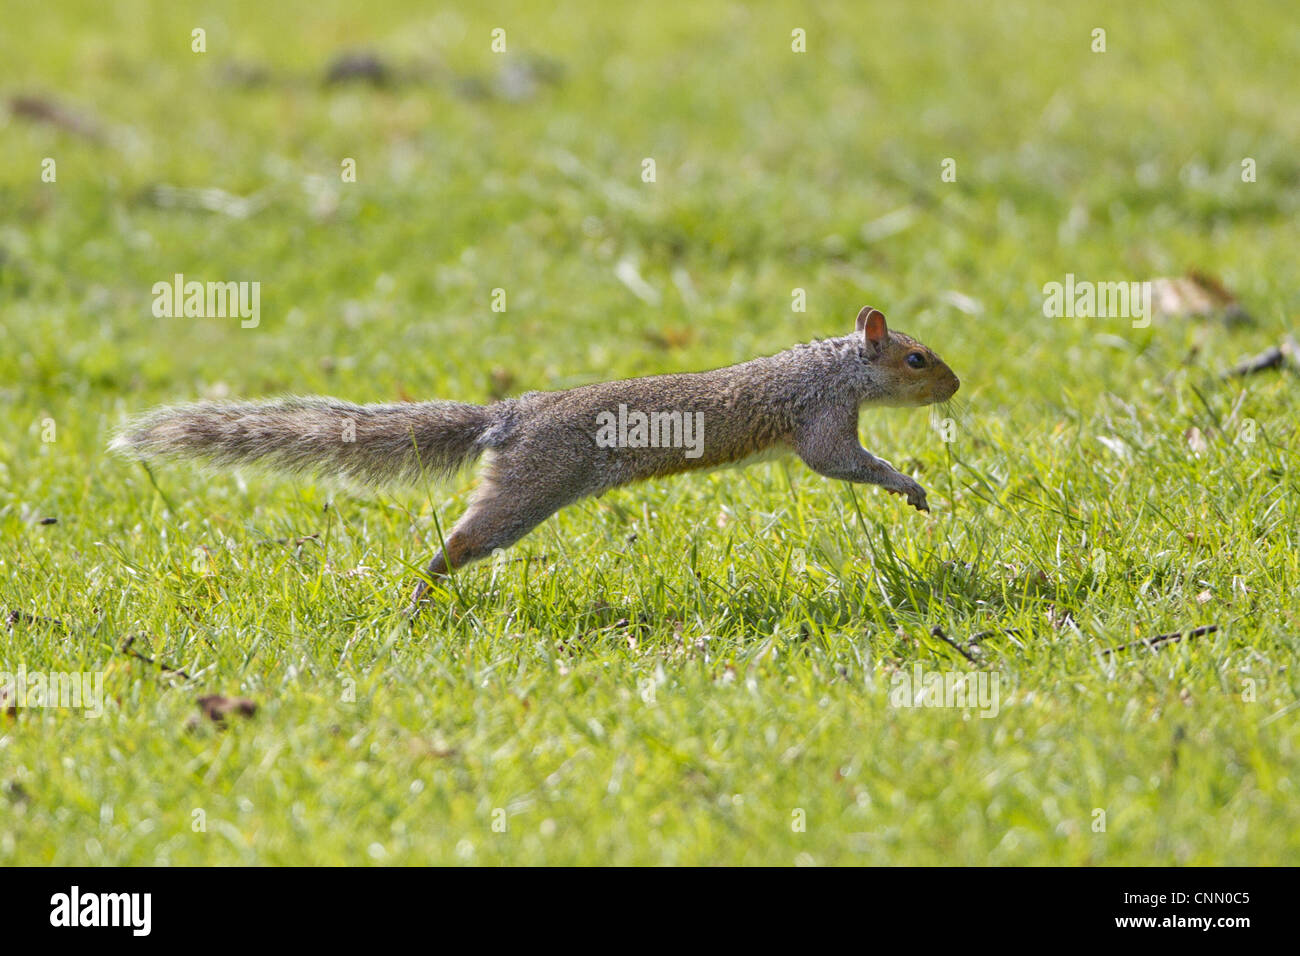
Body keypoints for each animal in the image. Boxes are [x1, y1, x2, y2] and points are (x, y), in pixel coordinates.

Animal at [112, 306, 960, 610]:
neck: (836, 366)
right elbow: (840, 464)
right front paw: (908, 487)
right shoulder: (821, 419)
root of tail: (508, 417)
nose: (956, 385)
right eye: (916, 358)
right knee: (460, 542)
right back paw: (420, 595)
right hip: (529, 489)